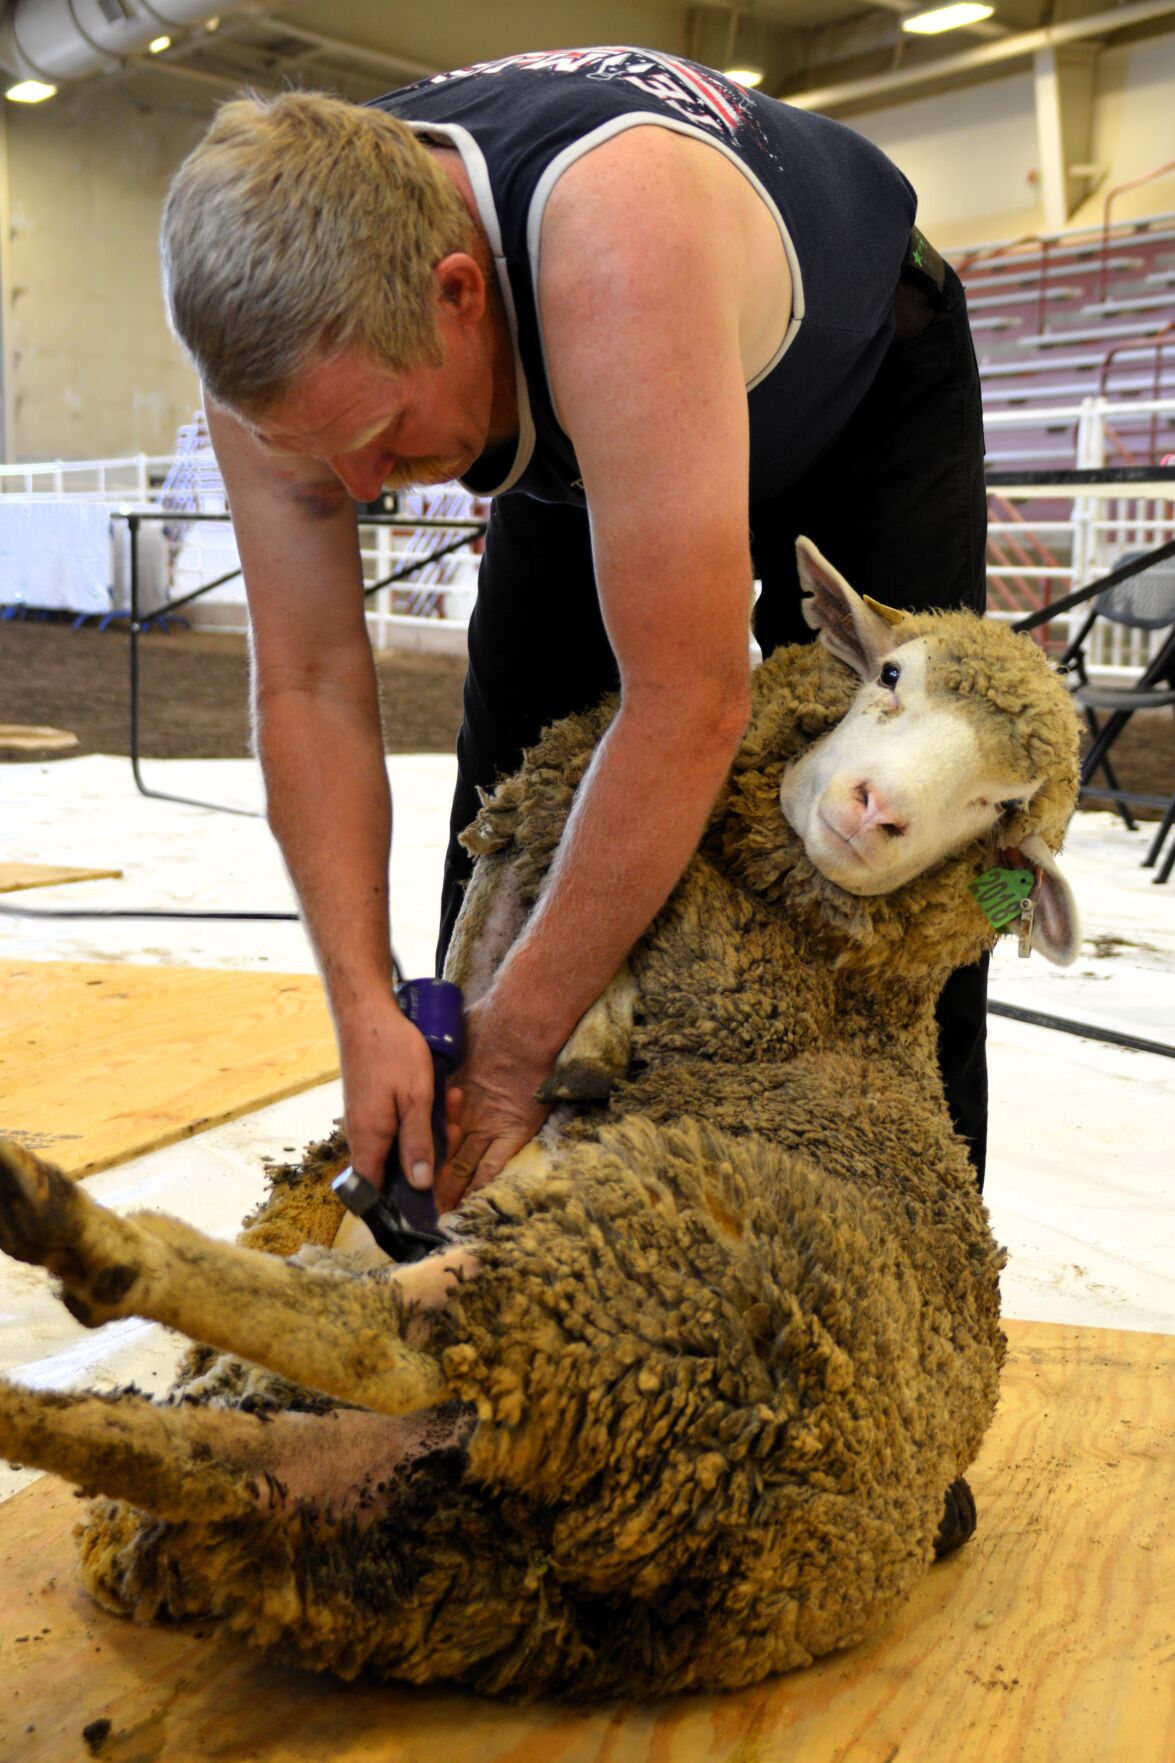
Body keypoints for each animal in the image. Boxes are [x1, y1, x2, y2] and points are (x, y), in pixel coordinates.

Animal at [0, 538, 1081, 1701]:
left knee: (382, 1341)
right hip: (416, 1513)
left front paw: (577, 1048)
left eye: (1002, 808)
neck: (815, 953)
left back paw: (83, 1234)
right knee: (233, 1466)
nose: (875, 812)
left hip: (642, 1270)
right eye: (889, 676)